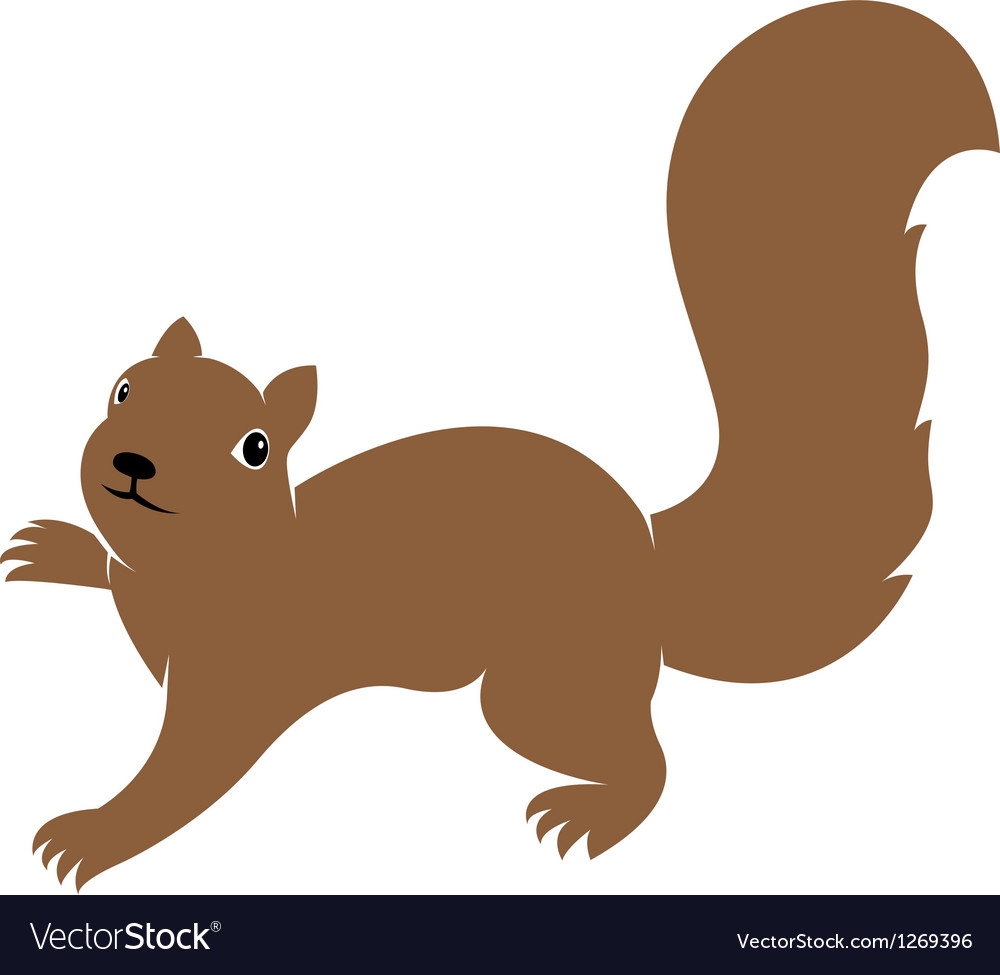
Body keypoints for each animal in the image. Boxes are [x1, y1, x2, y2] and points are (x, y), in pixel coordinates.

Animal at [4, 1, 997, 890]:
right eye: (121, 389)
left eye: (256, 446)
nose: (133, 462)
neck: (184, 575)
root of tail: (647, 558)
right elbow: (104, 570)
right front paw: (56, 548)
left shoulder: (237, 680)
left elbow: (181, 775)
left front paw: (91, 832)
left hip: (537, 685)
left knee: (648, 755)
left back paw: (596, 813)